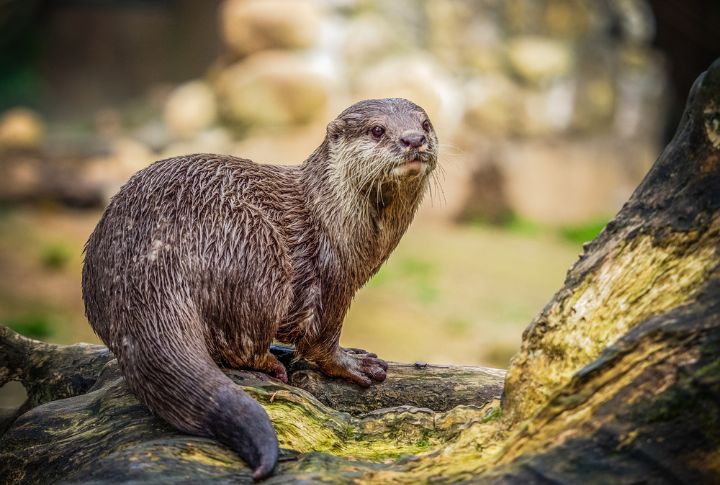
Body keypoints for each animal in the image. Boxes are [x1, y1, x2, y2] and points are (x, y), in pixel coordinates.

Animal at [82, 98, 438, 479]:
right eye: (377, 129)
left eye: (425, 124)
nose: (413, 139)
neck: (332, 215)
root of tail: (146, 266)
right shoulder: (333, 274)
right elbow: (322, 339)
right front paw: (353, 363)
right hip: (256, 246)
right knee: (242, 343)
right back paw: (270, 363)